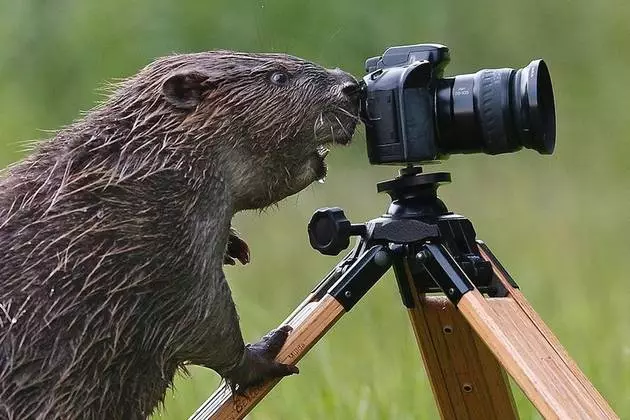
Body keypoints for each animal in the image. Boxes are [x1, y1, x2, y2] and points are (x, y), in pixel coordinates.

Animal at [0, 50, 360, 418]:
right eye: (278, 77)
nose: (352, 87)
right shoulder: (164, 242)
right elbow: (205, 319)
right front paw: (271, 349)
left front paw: (234, 248)